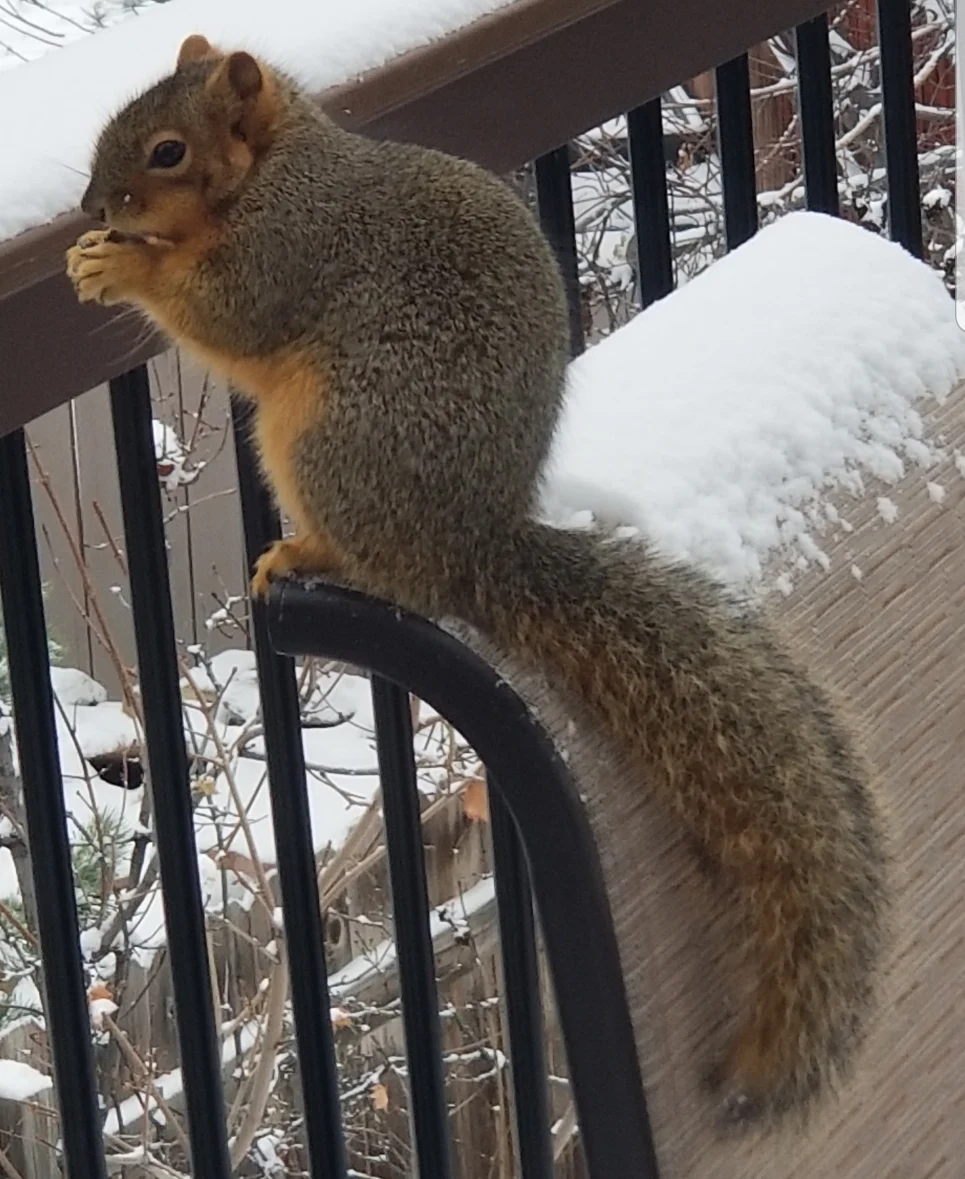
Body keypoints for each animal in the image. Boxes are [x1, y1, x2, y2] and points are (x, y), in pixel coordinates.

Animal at [67, 36, 889, 1130]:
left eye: (165, 150)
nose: (90, 205)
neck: (273, 166)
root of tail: (473, 546)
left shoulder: (293, 239)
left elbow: (226, 308)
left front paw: (123, 265)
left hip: (335, 438)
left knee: (387, 562)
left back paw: (311, 554)